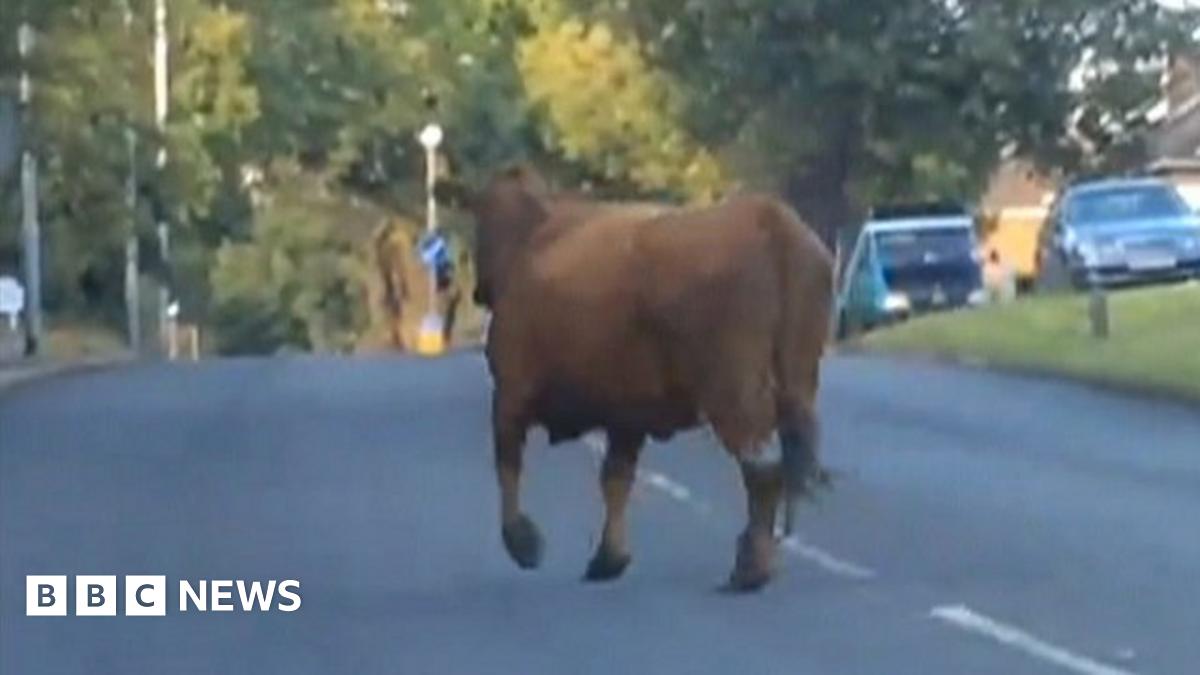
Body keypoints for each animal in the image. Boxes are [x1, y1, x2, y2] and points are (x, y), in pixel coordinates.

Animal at [441, 166, 834, 591]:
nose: (477, 290)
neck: (531, 236)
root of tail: (770, 218)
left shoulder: (511, 393)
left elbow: (508, 467)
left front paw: (522, 543)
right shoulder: (628, 413)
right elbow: (616, 479)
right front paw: (610, 557)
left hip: (734, 395)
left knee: (762, 471)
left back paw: (750, 568)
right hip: (798, 384)